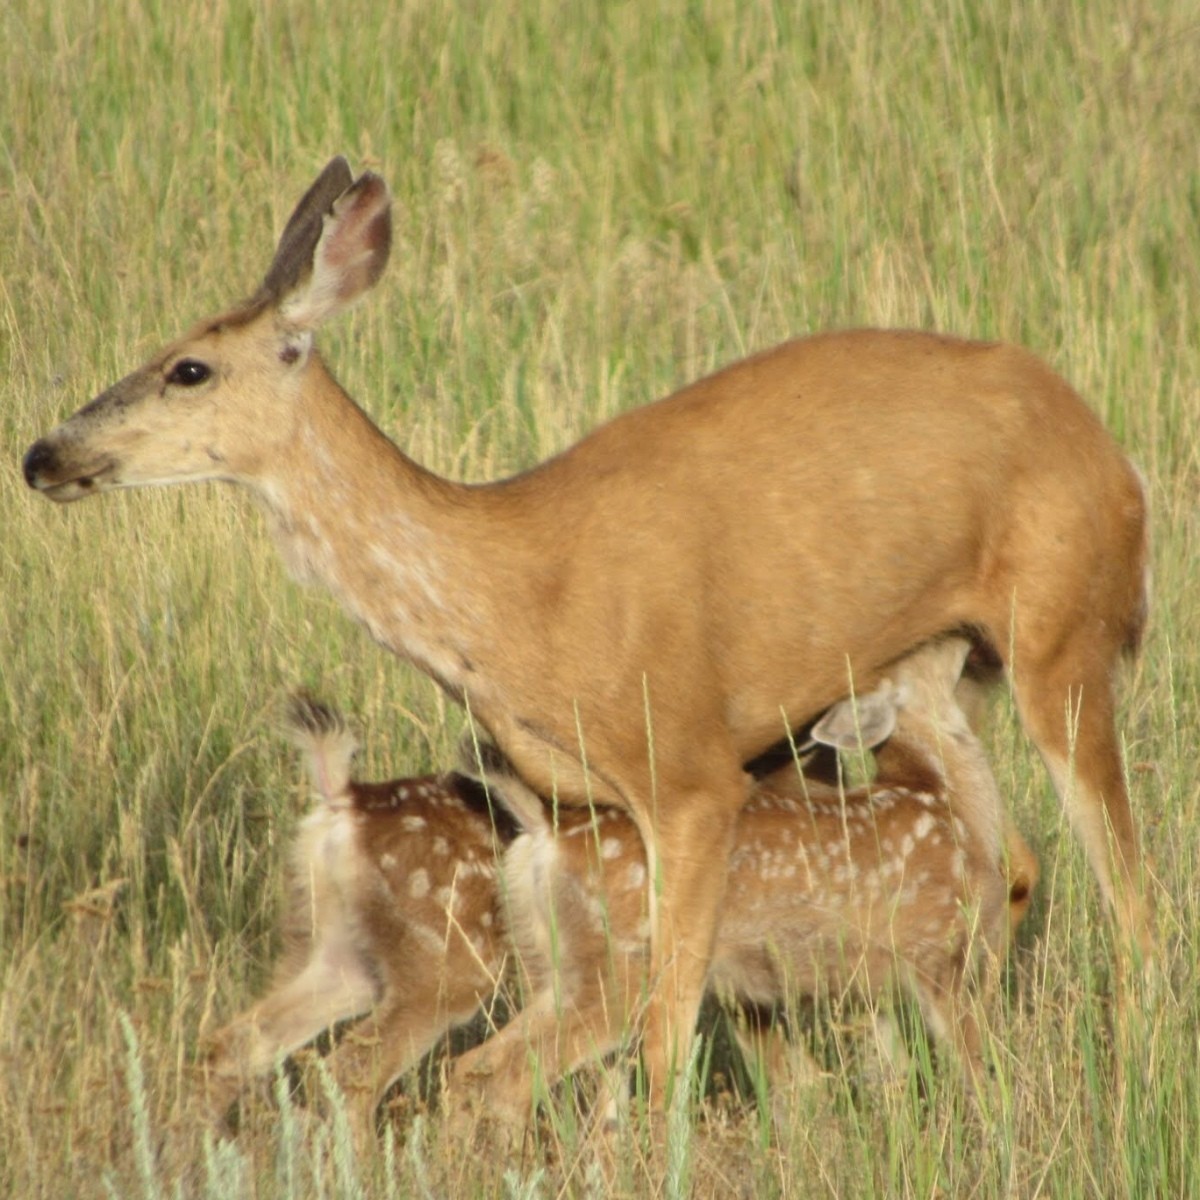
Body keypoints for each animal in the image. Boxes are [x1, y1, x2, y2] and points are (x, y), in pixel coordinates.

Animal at [449, 637, 1034, 1128]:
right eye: (920, 653)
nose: (962, 636)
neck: (948, 799)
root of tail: (542, 829)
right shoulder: (942, 954)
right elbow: (975, 1070)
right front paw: (996, 1131)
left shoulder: (871, 988)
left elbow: (890, 1071)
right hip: (616, 972)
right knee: (509, 1080)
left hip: (550, 967)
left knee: (472, 1067)